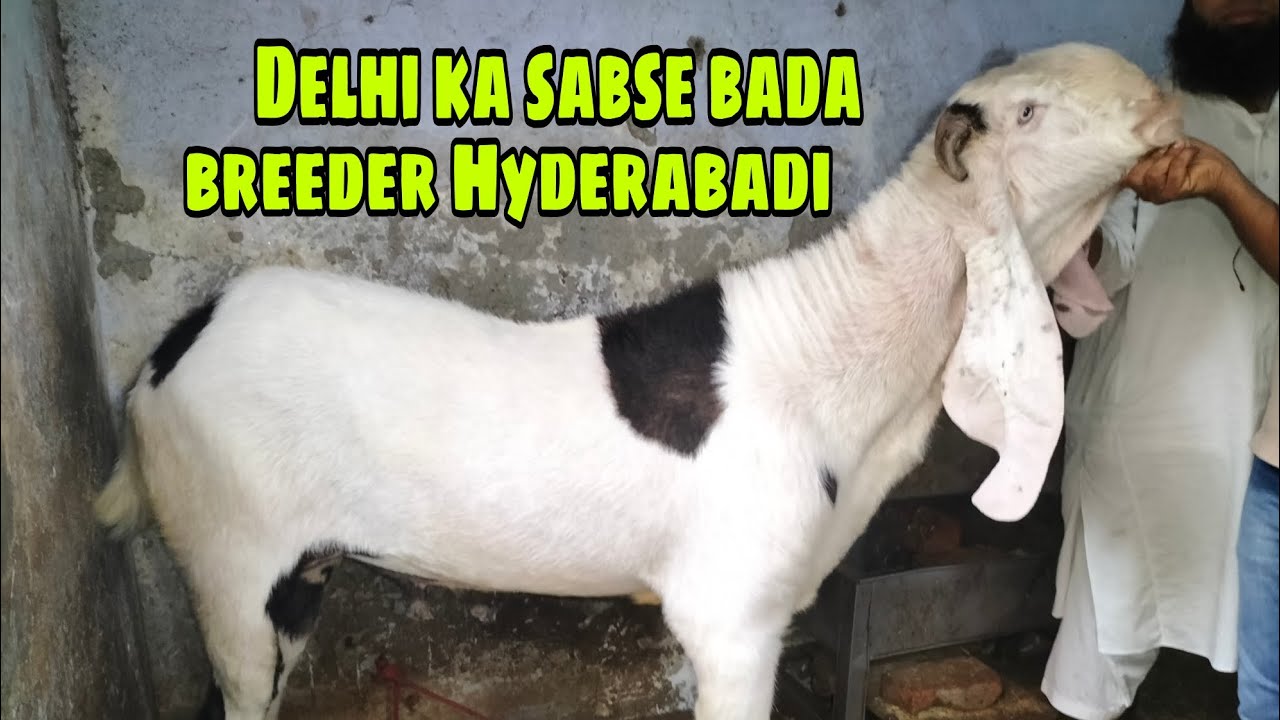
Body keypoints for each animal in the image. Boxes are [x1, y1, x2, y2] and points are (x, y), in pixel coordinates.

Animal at [94, 42, 1182, 720]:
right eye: (1028, 114)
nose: (1164, 99)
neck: (848, 365)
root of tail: (169, 349)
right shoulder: (731, 613)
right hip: (228, 552)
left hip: (297, 575)